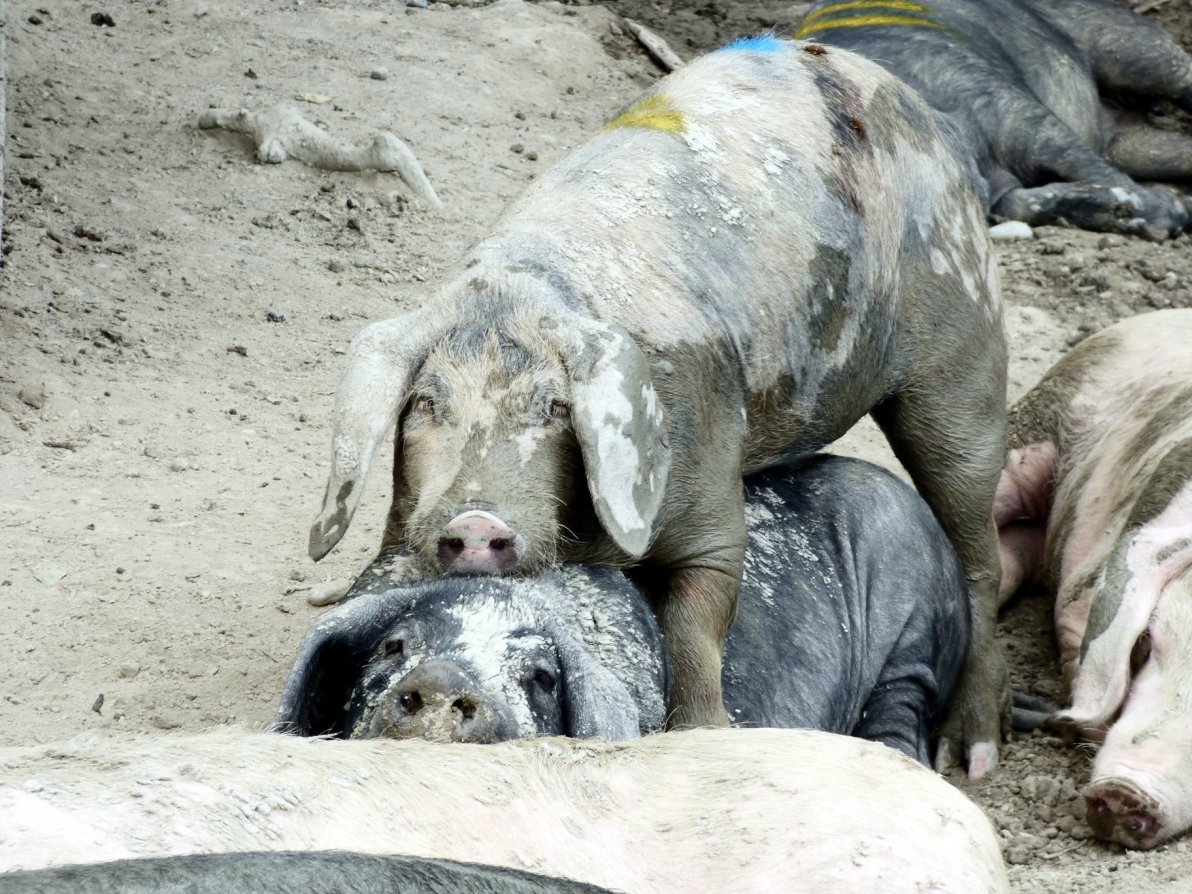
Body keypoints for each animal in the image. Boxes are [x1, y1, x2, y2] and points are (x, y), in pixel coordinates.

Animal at [797, 0, 1192, 240]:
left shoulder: (1019, 114)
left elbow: (1077, 158)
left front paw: (1170, 213)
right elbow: (1019, 204)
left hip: (1131, 45)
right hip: (1129, 140)